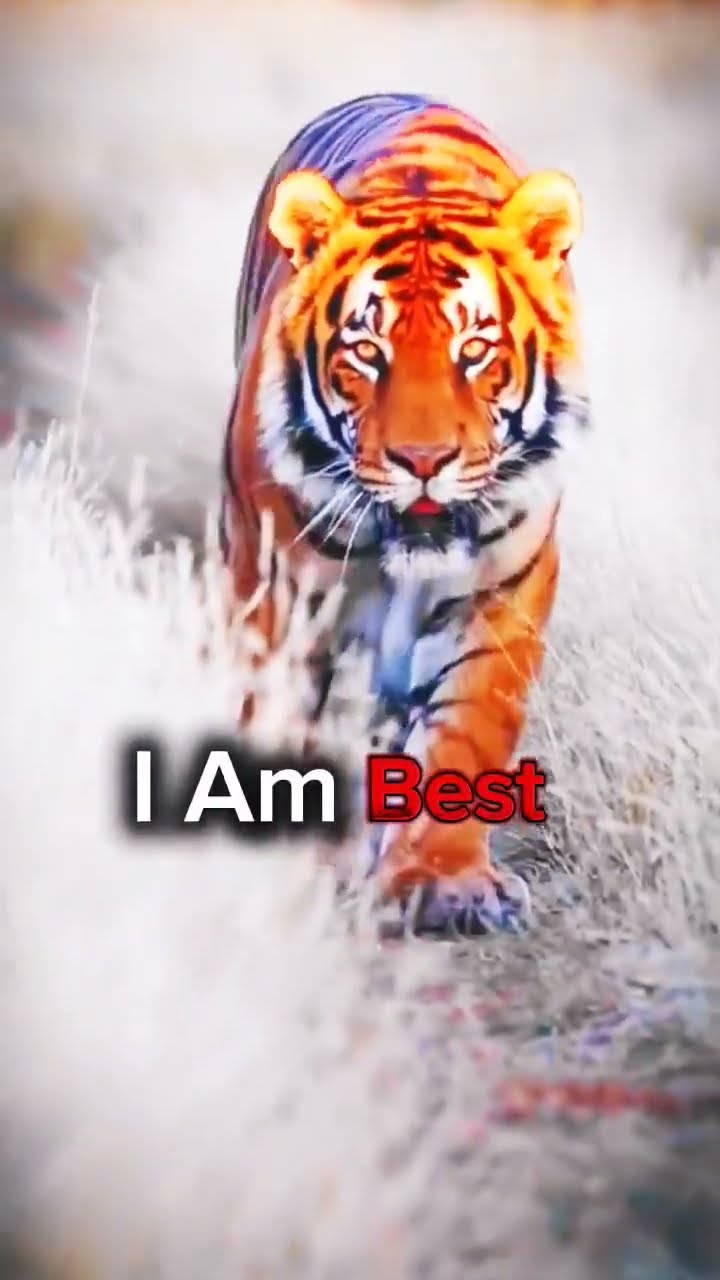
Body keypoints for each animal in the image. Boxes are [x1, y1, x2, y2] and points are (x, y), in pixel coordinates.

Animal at [220, 93, 589, 935]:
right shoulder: (277, 591)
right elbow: (284, 724)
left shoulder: (505, 590)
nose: (423, 461)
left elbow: (468, 732)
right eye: (366, 351)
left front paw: (445, 883)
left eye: (475, 349)